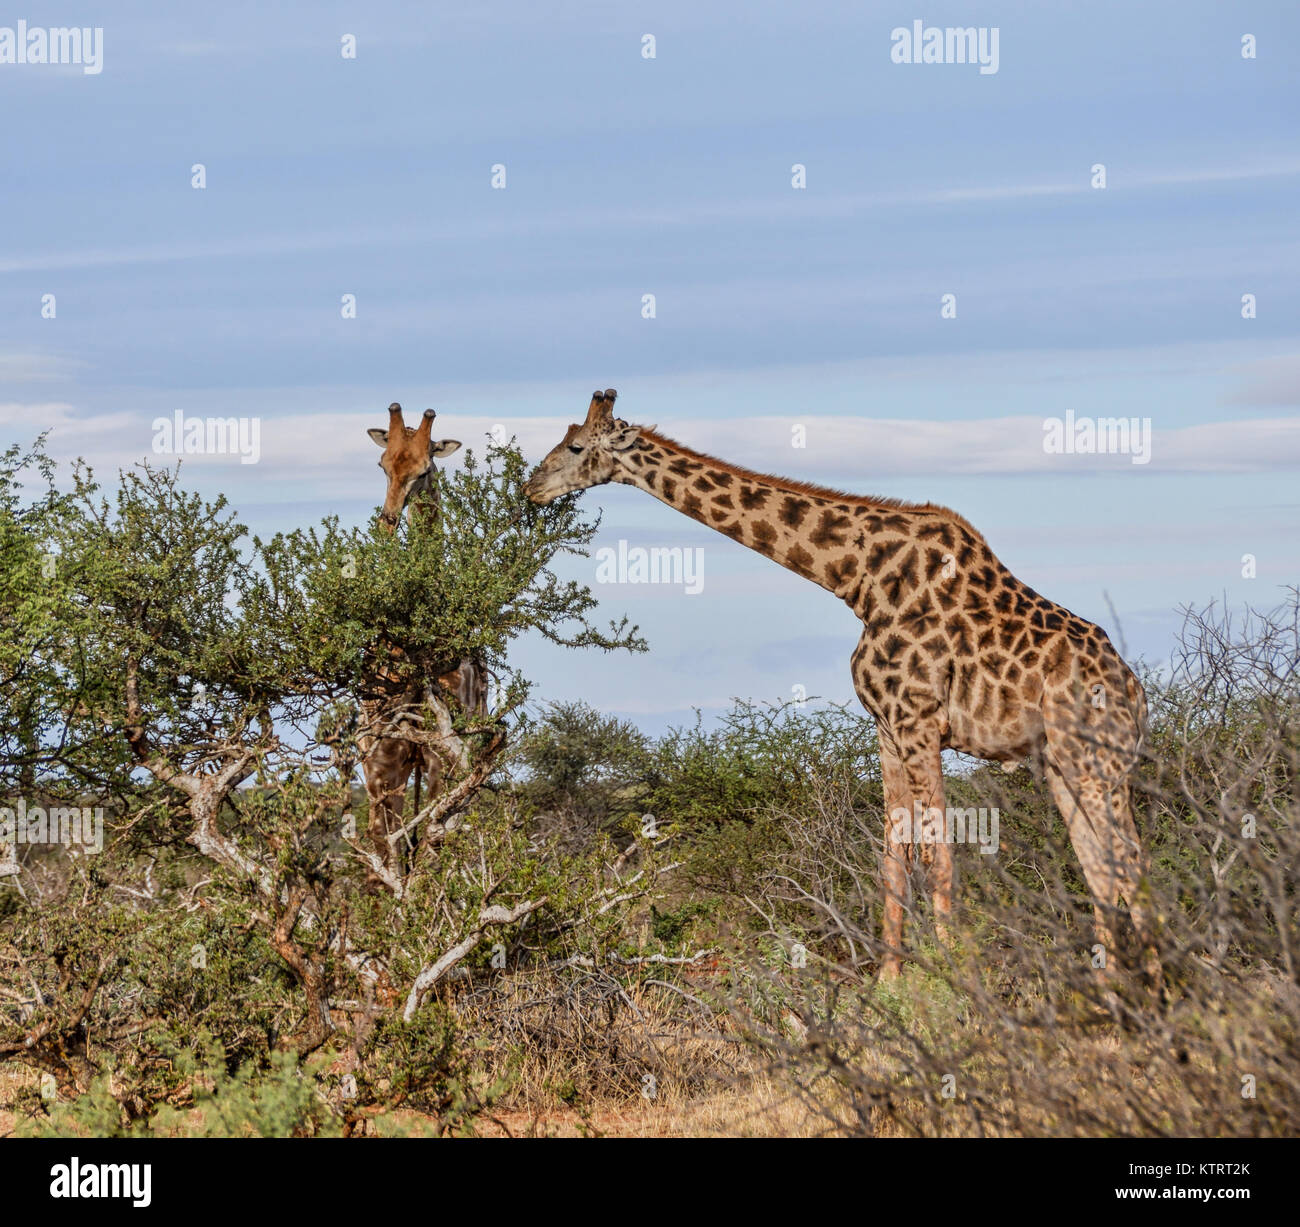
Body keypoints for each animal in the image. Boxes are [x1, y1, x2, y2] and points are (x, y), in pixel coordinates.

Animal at [358, 403, 488, 875]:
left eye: (424, 469)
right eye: (383, 465)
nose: (388, 520)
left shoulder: (439, 756)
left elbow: (433, 842)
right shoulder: (386, 758)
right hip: (383, 760)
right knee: (386, 844)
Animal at [525, 390, 1160, 983]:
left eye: (576, 447)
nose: (532, 485)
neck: (856, 579)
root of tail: (1135, 694)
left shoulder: (918, 720)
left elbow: (939, 856)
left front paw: (956, 979)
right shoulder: (886, 726)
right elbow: (892, 857)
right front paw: (889, 980)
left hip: (1093, 761)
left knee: (1129, 866)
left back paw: (1156, 988)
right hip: (1064, 764)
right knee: (1105, 868)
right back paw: (1114, 987)